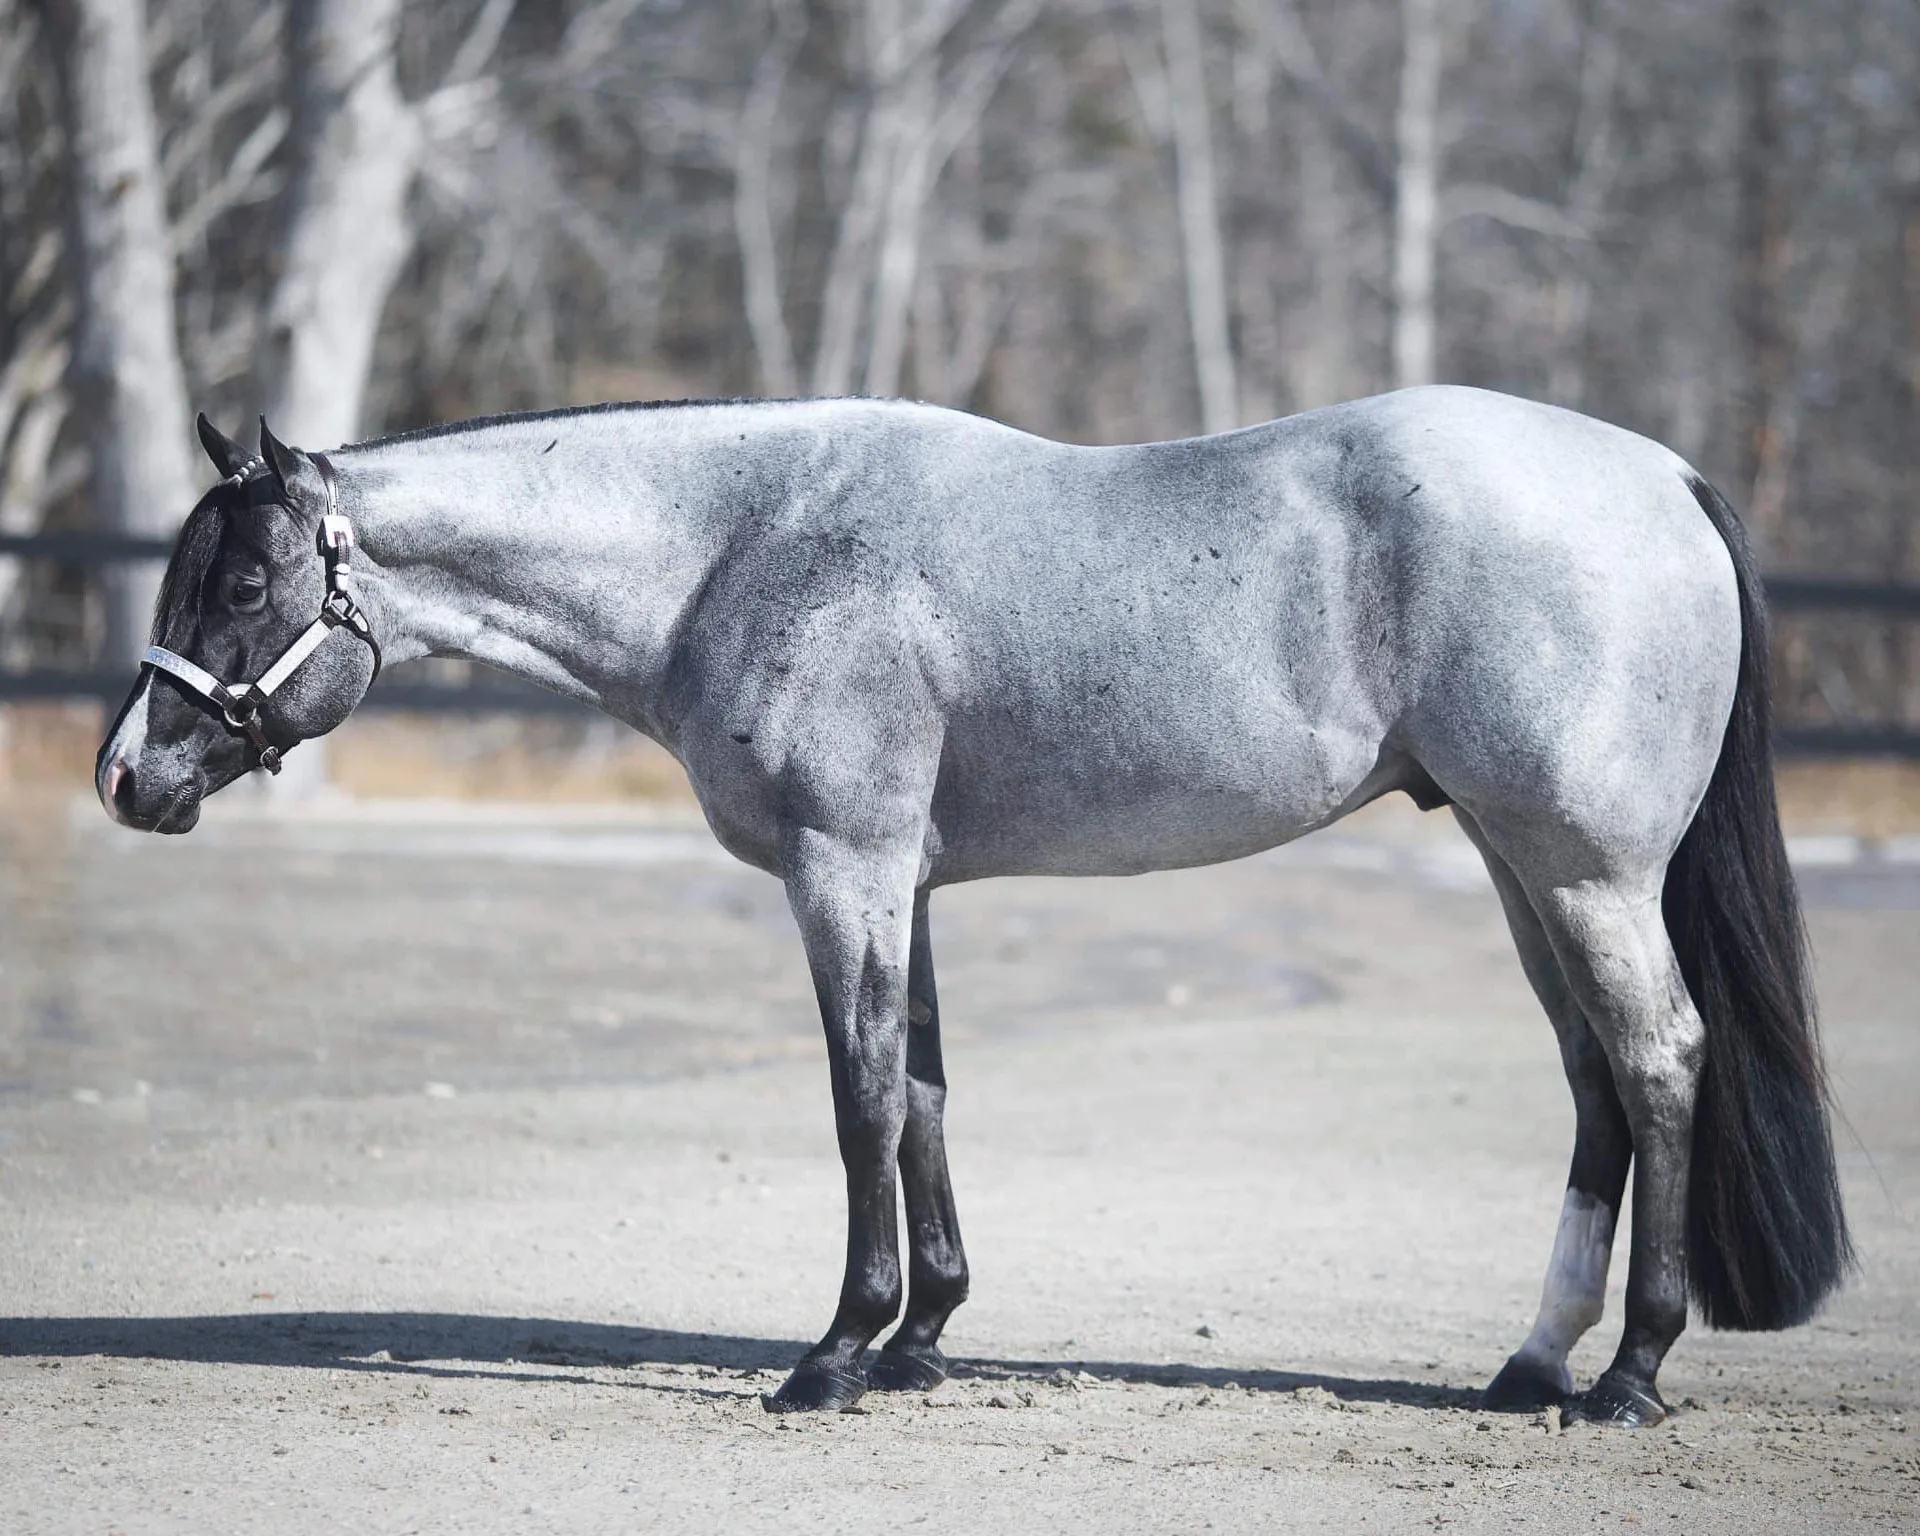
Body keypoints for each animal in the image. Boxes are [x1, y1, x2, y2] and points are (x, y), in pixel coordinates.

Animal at [95, 387, 1851, 1423]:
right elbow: (927, 1089)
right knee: (1596, 1083)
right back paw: (1534, 1362)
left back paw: (1628, 1374)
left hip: (1581, 870)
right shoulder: (905, 882)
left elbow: (862, 1095)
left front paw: (834, 1354)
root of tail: (1664, 478)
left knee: (1664, 1061)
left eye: (239, 583)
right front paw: (923, 1338)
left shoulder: (845, 870)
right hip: (1511, 861)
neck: (746, 546)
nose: (126, 776)